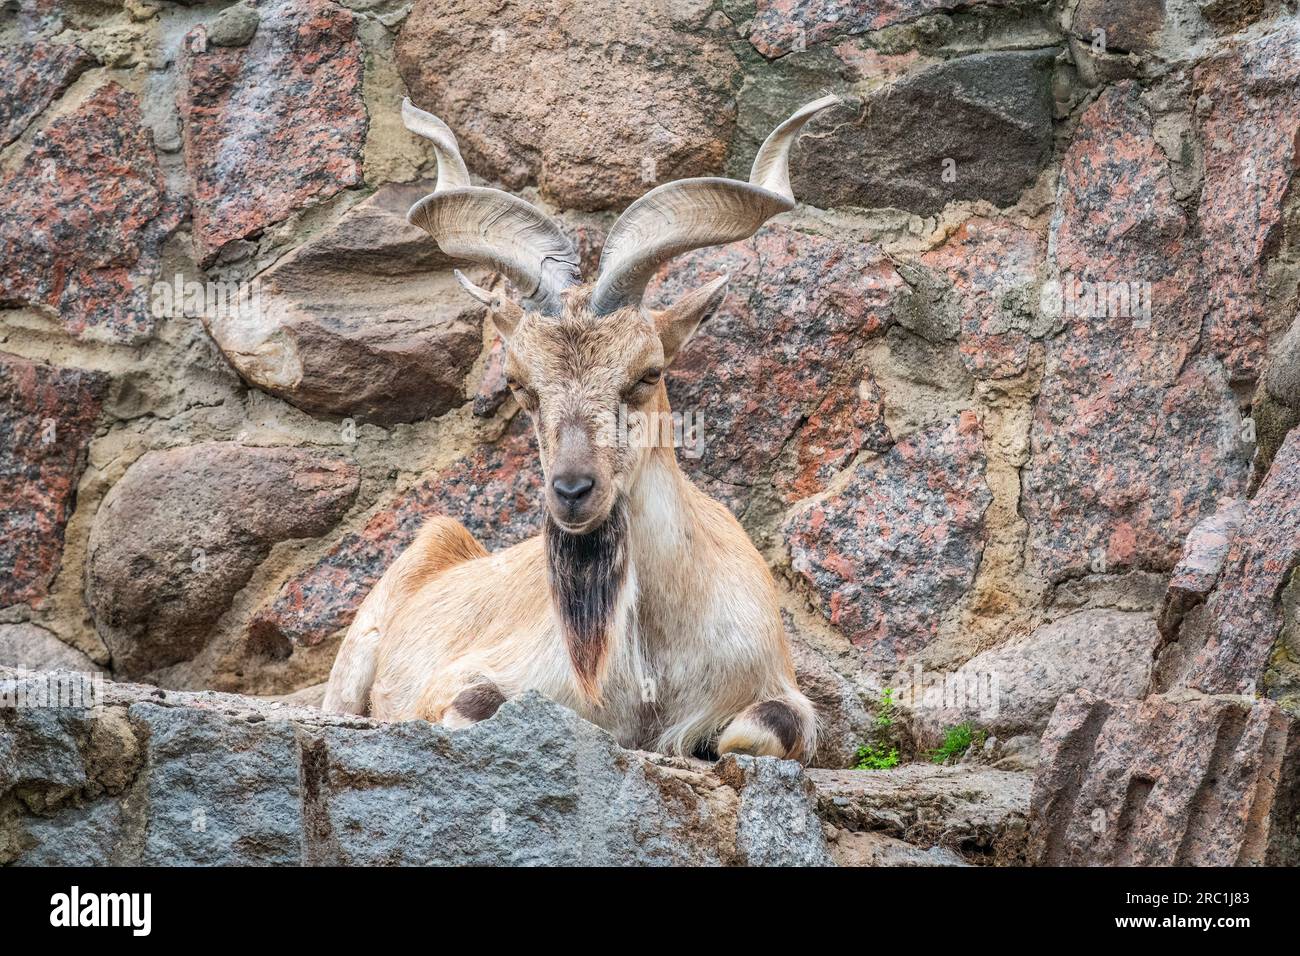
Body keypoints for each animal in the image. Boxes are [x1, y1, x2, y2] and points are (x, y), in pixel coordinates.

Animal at [322, 96, 842, 761]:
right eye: (519, 382)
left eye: (648, 373)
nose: (572, 492)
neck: (651, 656)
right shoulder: (467, 678)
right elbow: (472, 706)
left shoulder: (777, 686)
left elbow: (766, 727)